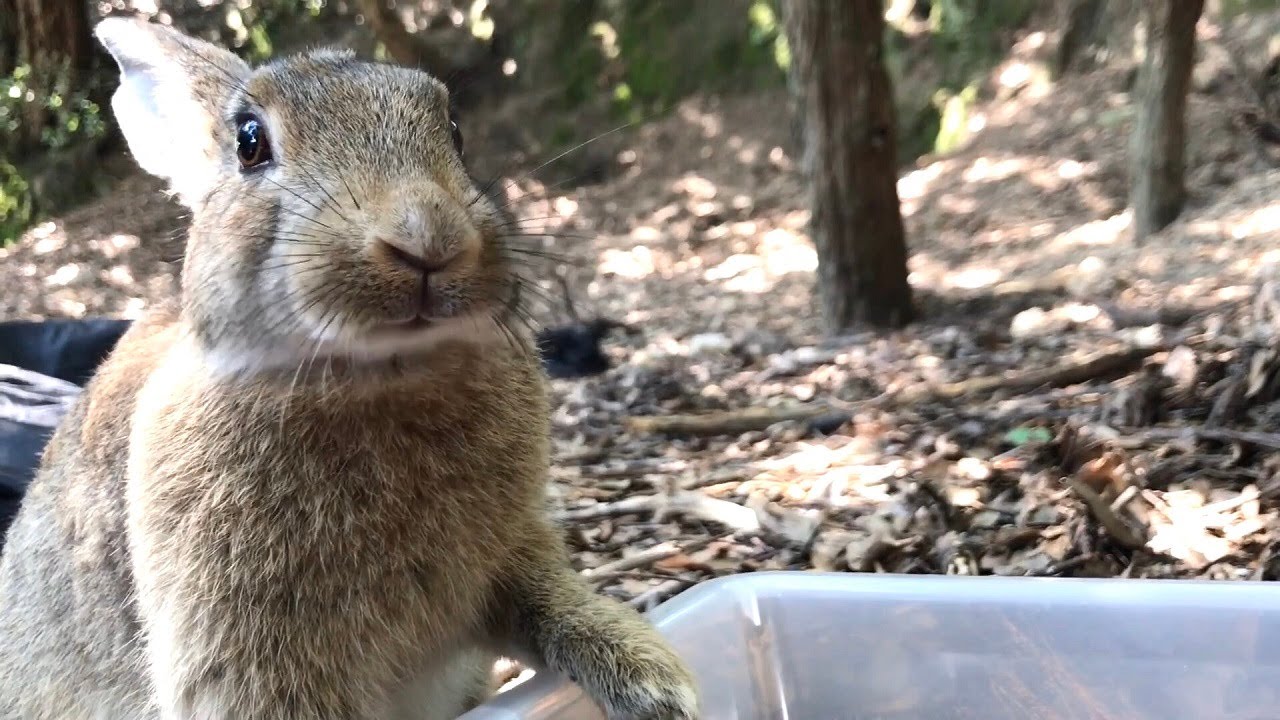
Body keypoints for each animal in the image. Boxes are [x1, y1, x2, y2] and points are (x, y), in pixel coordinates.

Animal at [0, 15, 699, 720]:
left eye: (454, 131)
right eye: (249, 142)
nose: (427, 240)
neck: (382, 375)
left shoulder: (512, 558)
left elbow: (549, 601)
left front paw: (658, 685)